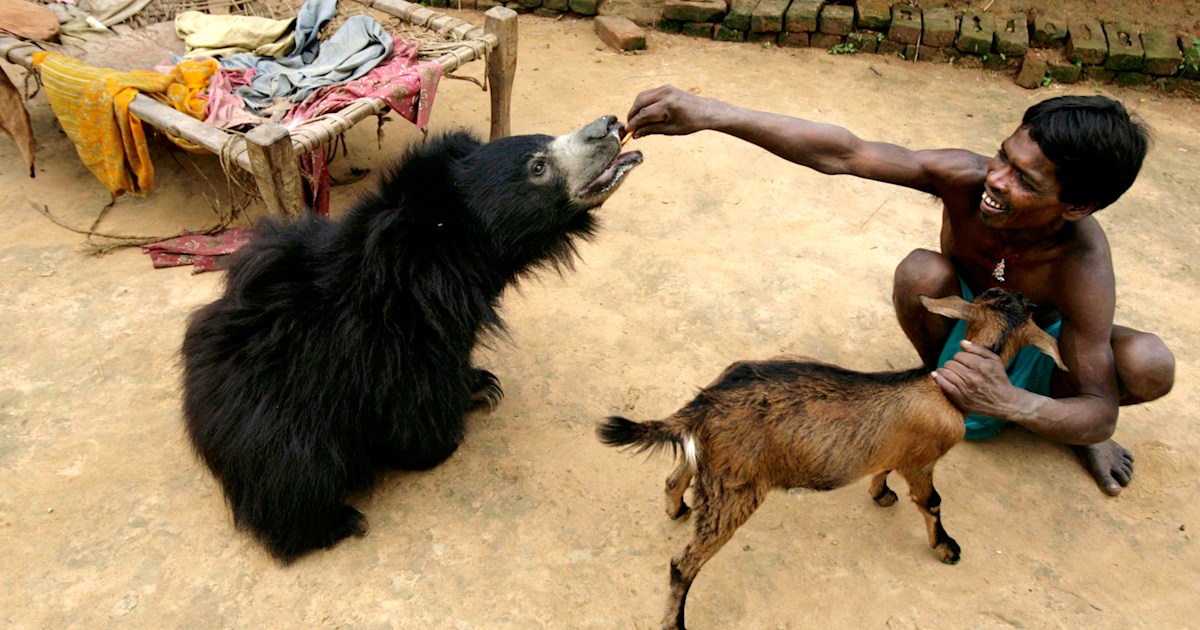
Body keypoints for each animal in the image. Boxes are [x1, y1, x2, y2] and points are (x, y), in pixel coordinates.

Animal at [181, 115, 643, 562]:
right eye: (538, 167)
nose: (611, 124)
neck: (443, 265)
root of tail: (199, 409)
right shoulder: (395, 342)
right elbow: (416, 399)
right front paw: (442, 439)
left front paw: (480, 383)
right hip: (278, 422)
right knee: (296, 478)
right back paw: (337, 523)